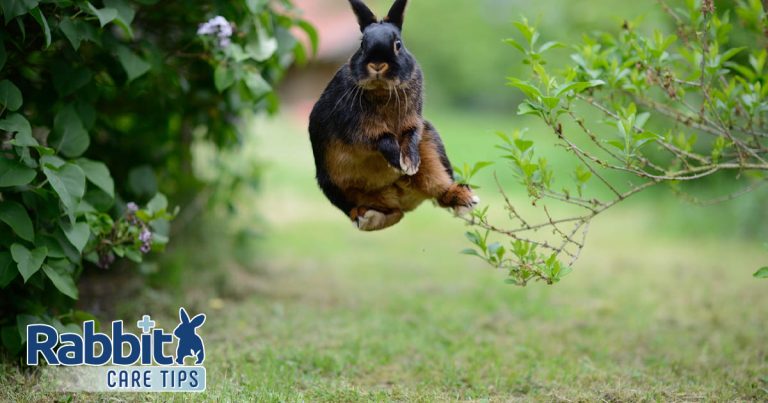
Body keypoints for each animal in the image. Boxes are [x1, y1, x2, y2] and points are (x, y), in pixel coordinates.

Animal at [309, 0, 479, 232]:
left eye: (398, 44)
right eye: (362, 44)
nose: (377, 64)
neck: (382, 89)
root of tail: (402, 198)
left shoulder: (413, 120)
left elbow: (411, 134)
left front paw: (409, 163)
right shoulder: (357, 127)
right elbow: (381, 138)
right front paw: (398, 162)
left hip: (432, 149)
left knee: (434, 193)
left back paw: (464, 199)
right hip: (333, 183)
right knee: (387, 214)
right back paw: (366, 217)